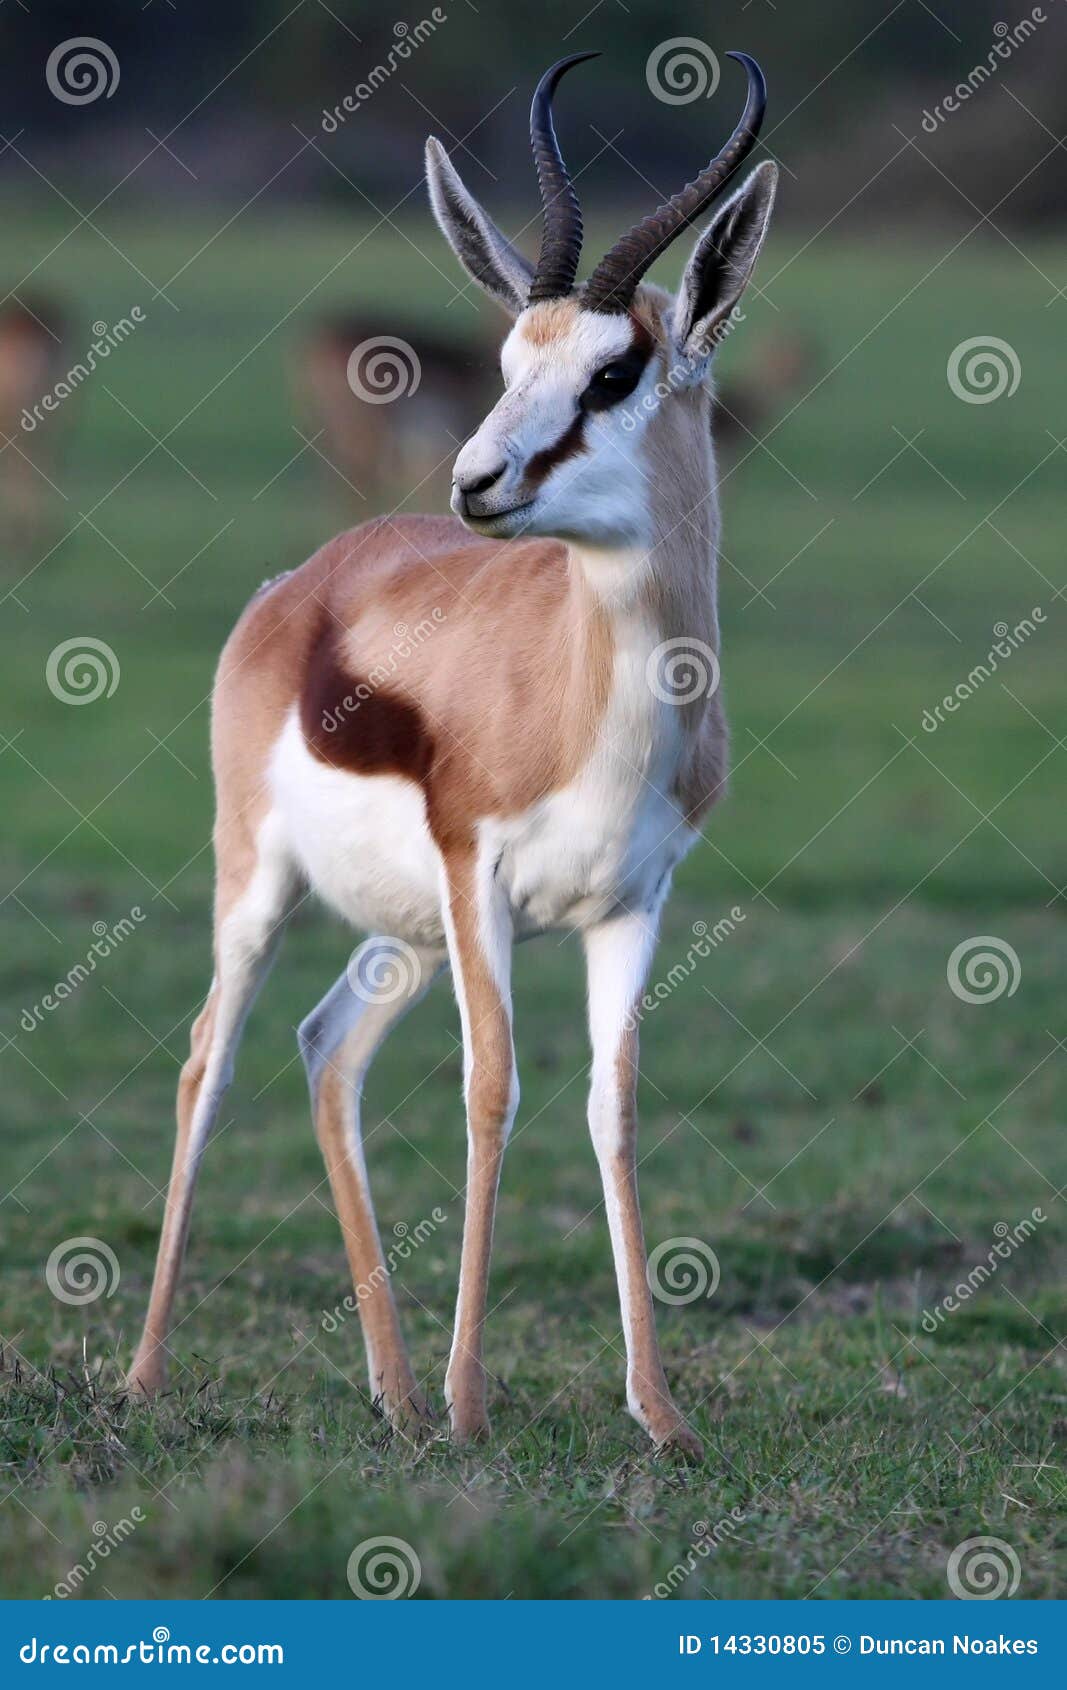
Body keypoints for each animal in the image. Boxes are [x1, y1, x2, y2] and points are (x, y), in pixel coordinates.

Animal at [128, 50, 777, 1460]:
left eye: (612, 373)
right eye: (506, 356)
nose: (476, 482)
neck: (594, 703)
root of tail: (308, 579)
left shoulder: (629, 905)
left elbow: (610, 1108)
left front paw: (658, 1413)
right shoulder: (478, 875)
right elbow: (492, 1093)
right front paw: (477, 1403)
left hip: (403, 934)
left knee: (327, 1052)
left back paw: (392, 1390)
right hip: (263, 885)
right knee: (210, 1054)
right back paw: (148, 1375)